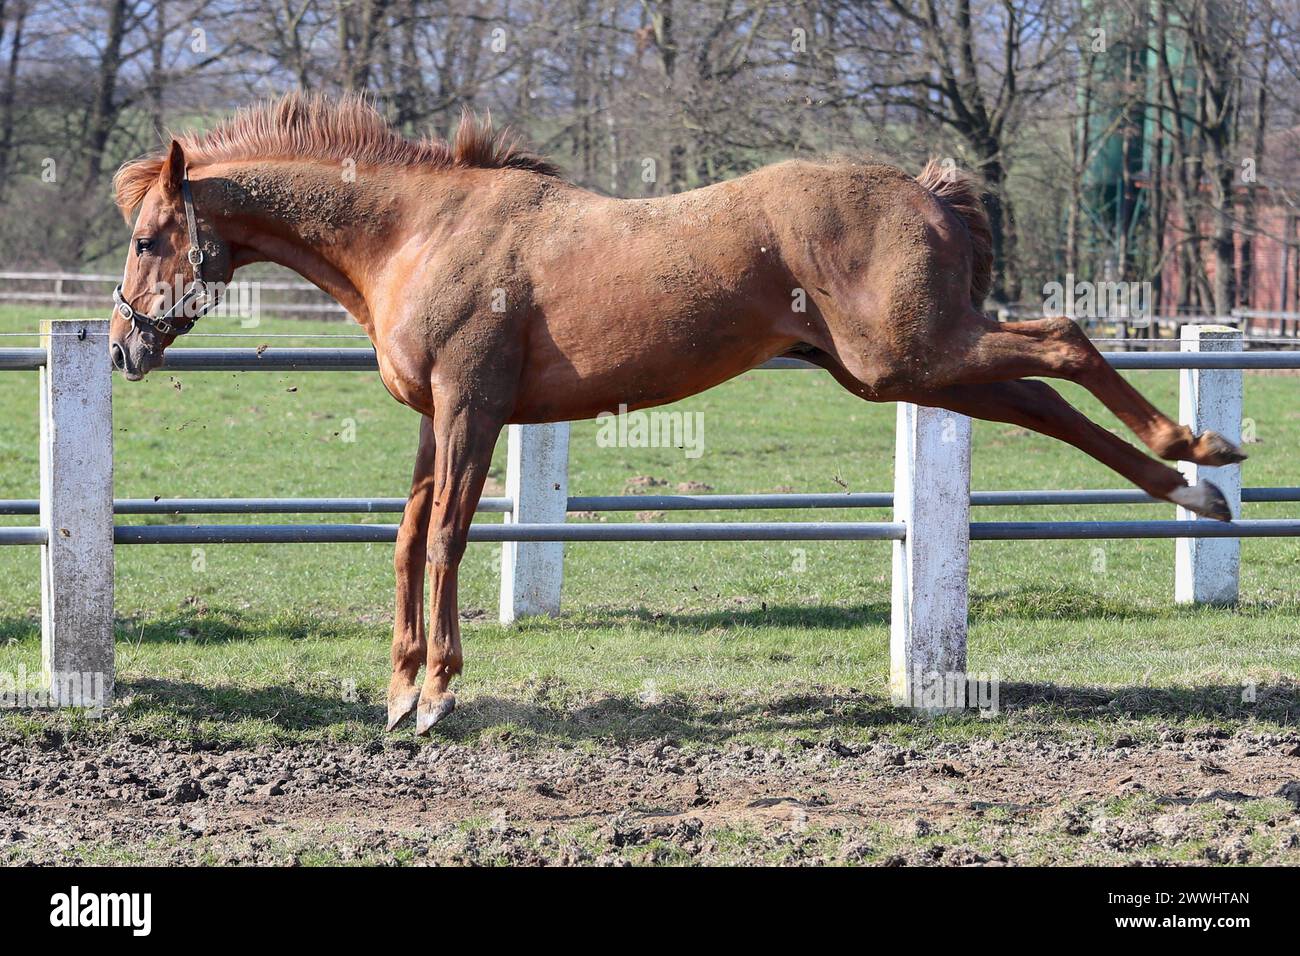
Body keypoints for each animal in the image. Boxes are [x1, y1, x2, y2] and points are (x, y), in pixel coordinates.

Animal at [109, 93, 1243, 734]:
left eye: (151, 236)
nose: (123, 346)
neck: (417, 233)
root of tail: (927, 193)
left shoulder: (473, 404)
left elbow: (444, 540)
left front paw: (435, 696)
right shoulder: (436, 415)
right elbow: (406, 537)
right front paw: (396, 692)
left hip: (913, 354)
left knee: (1065, 340)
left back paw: (1201, 450)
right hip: (905, 370)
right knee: (1041, 396)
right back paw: (1193, 487)